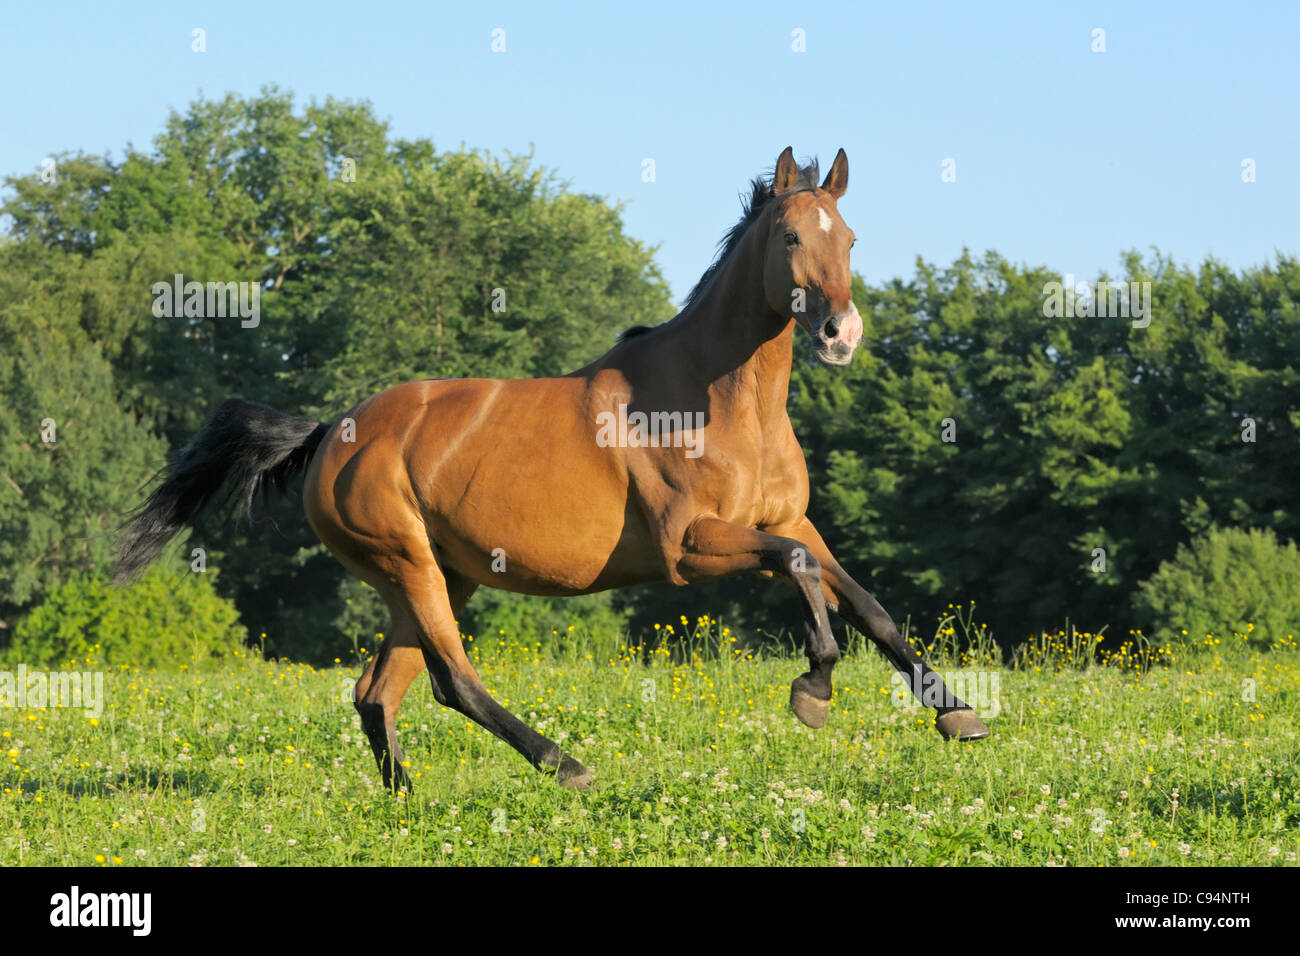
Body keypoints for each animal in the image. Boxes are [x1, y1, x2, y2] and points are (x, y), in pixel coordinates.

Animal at [116, 147, 990, 792]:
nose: (843, 334)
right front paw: (814, 691)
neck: (723, 401)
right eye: (790, 239)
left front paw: (957, 713)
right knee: (451, 680)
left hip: (435, 575)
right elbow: (804, 571)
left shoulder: (784, 517)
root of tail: (335, 432)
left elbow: (868, 604)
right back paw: (564, 765)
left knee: (377, 692)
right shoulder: (689, 547)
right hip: (409, 565)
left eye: (850, 239)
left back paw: (406, 798)